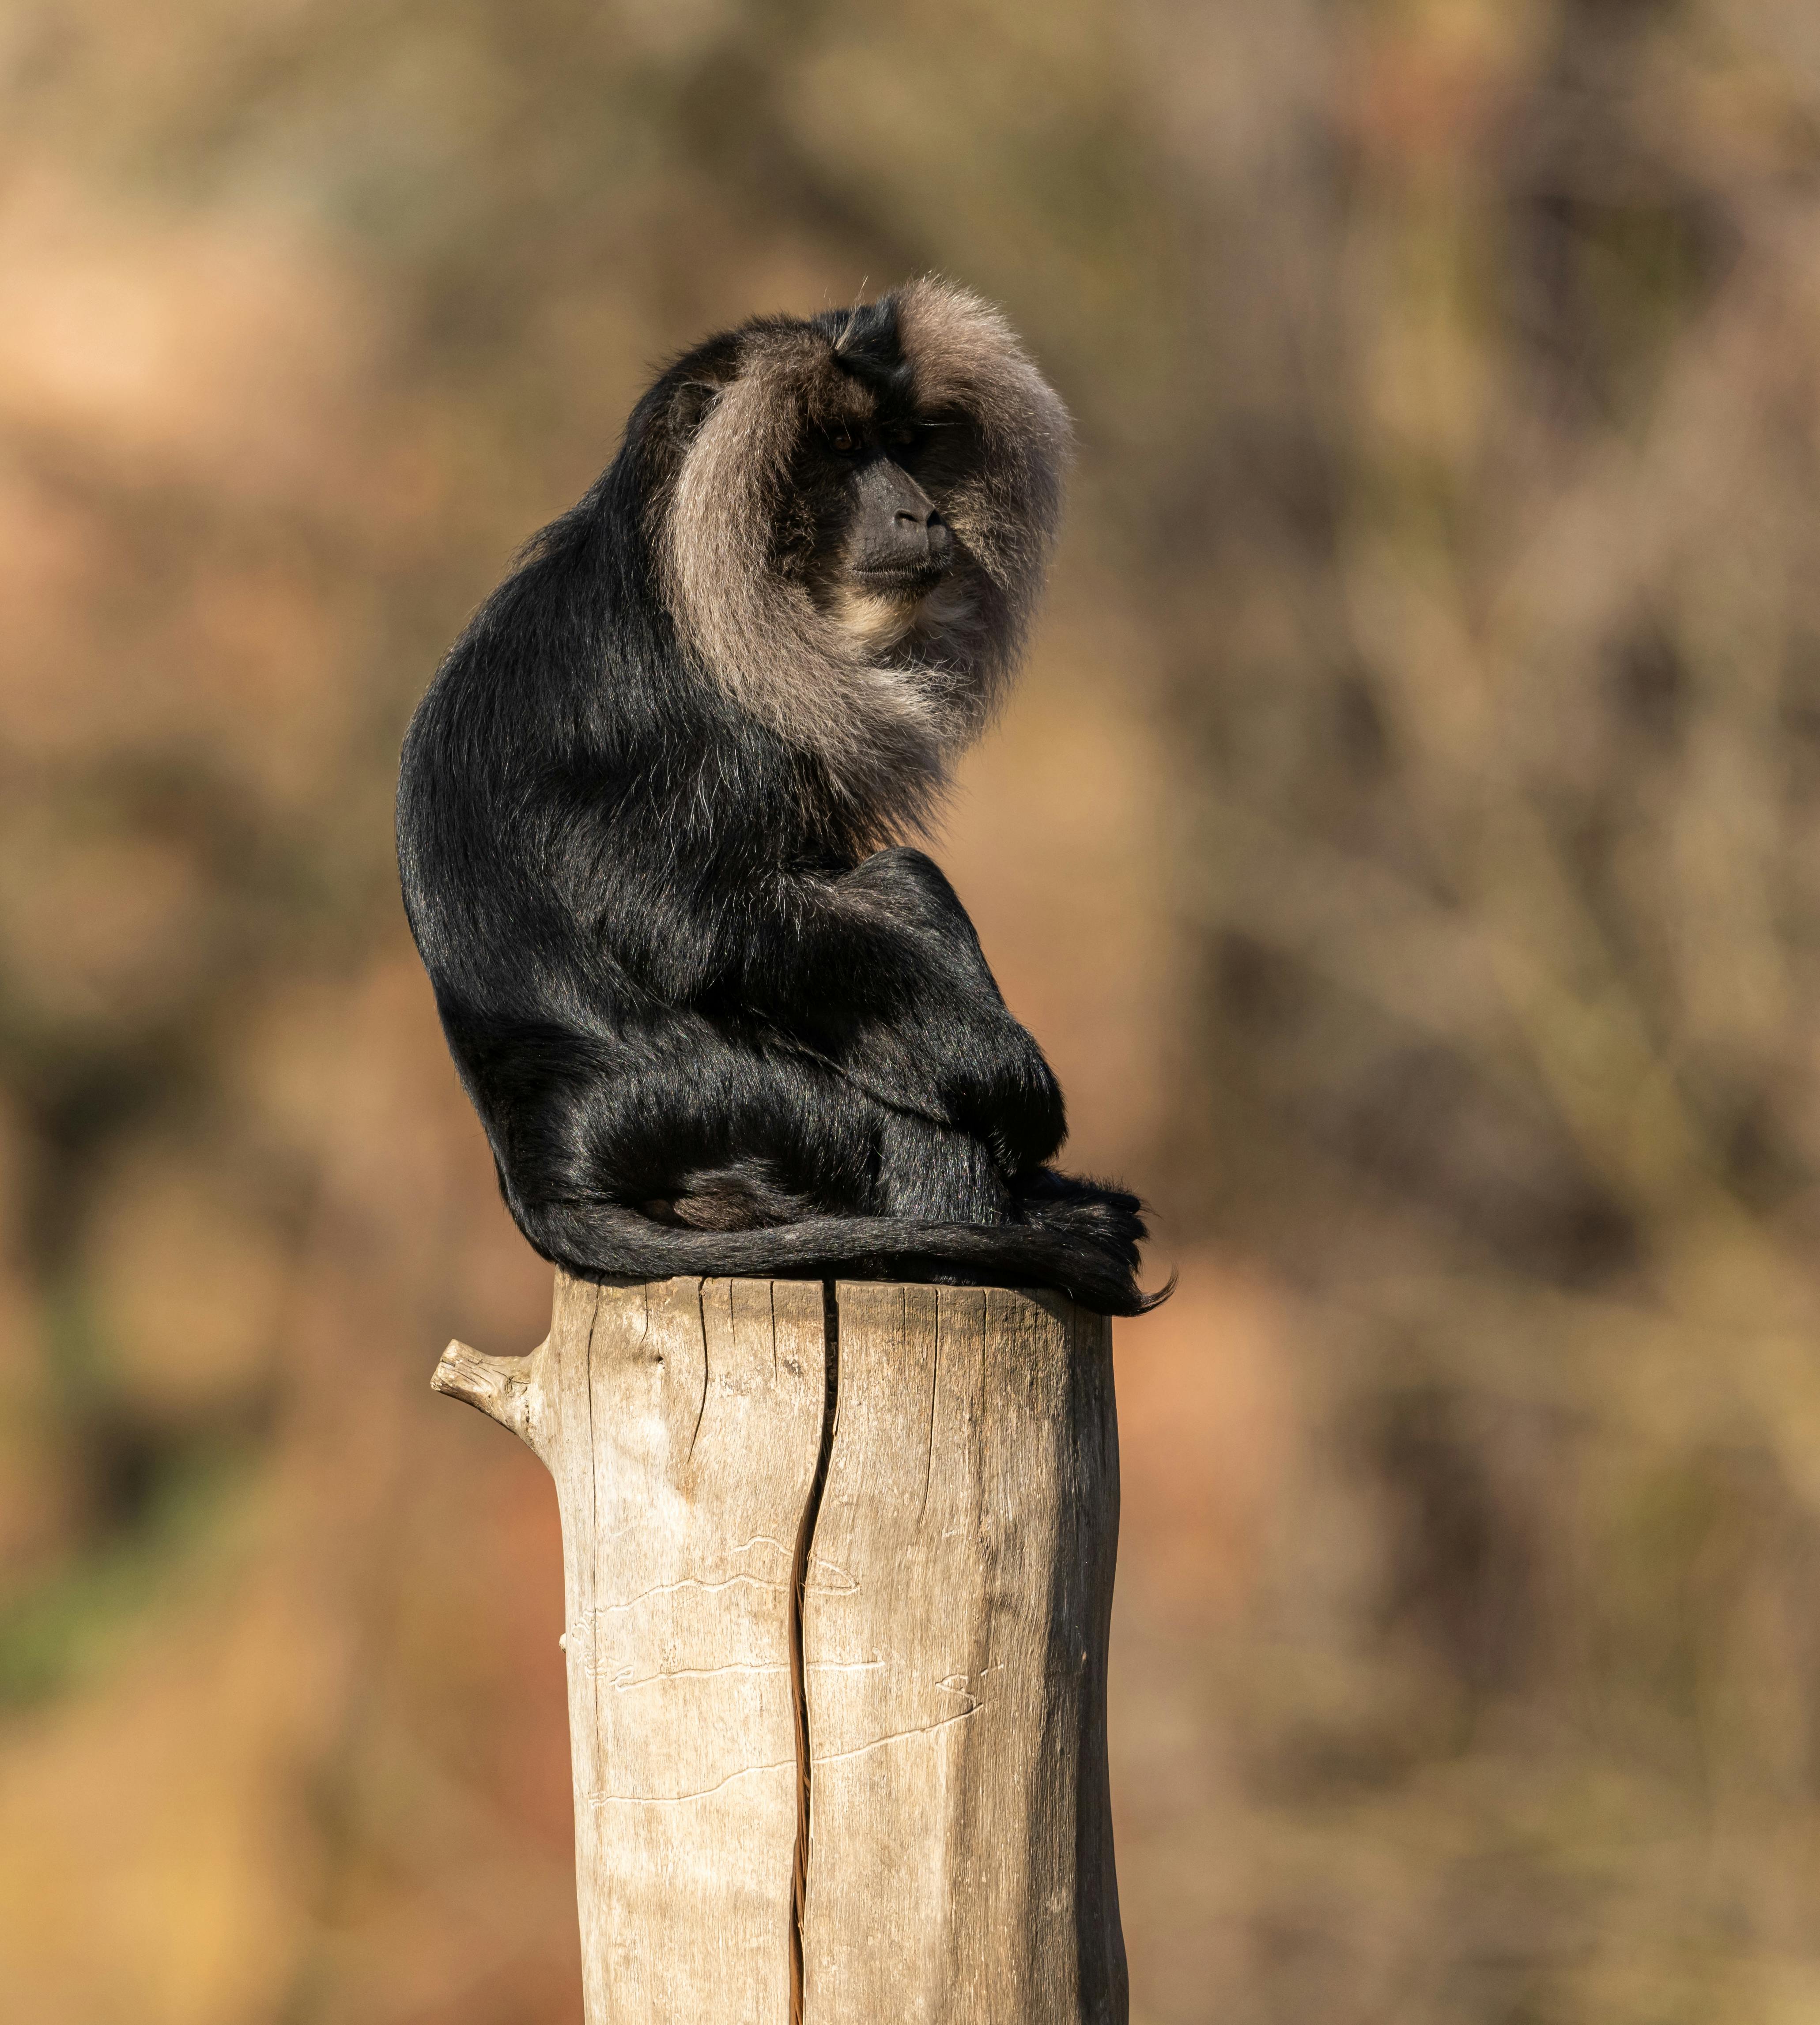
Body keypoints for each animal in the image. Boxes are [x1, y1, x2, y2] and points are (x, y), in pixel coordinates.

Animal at [396, 278, 1166, 1316]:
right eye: (840, 449)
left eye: (903, 441)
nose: (922, 514)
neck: (678, 576)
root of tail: (539, 1163)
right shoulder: (694, 725)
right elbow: (686, 919)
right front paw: (1010, 1087)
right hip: (744, 1113)